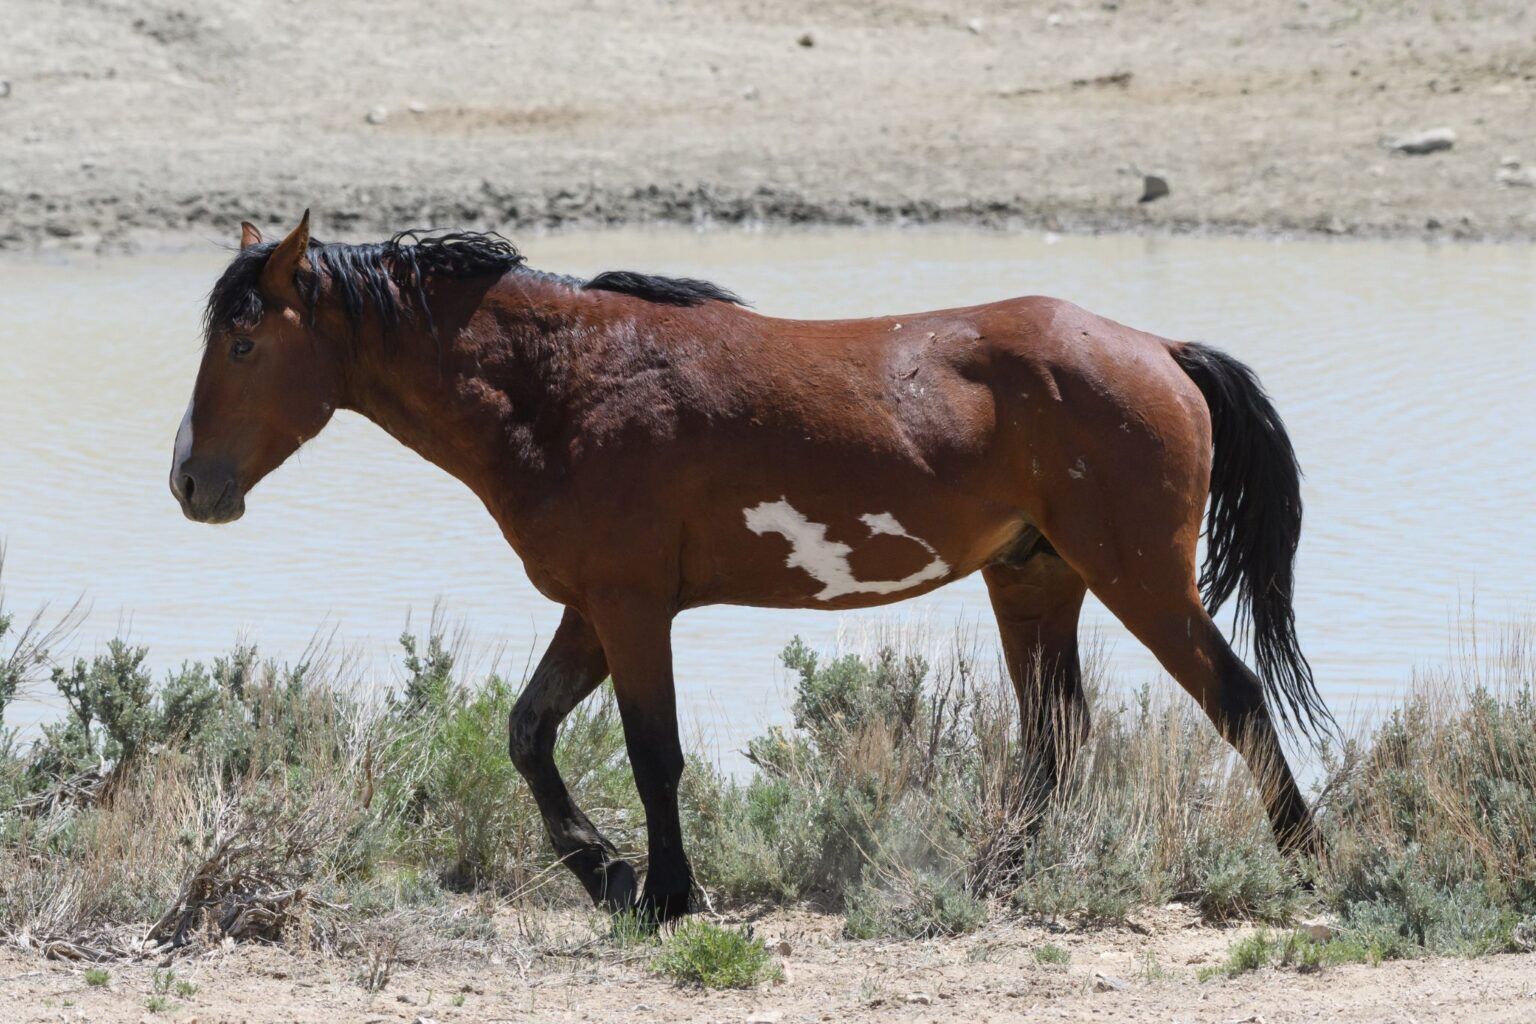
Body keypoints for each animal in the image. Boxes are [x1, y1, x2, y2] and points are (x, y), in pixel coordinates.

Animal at [171, 212, 1331, 922]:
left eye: (243, 343)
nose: (189, 482)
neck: (566, 382)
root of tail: (1158, 349)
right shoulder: (592, 611)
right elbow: (530, 734)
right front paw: (607, 872)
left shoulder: (632, 609)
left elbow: (654, 754)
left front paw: (666, 893)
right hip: (1036, 579)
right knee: (1055, 735)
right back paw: (993, 875)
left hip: (1139, 578)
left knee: (1233, 698)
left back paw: (1310, 862)